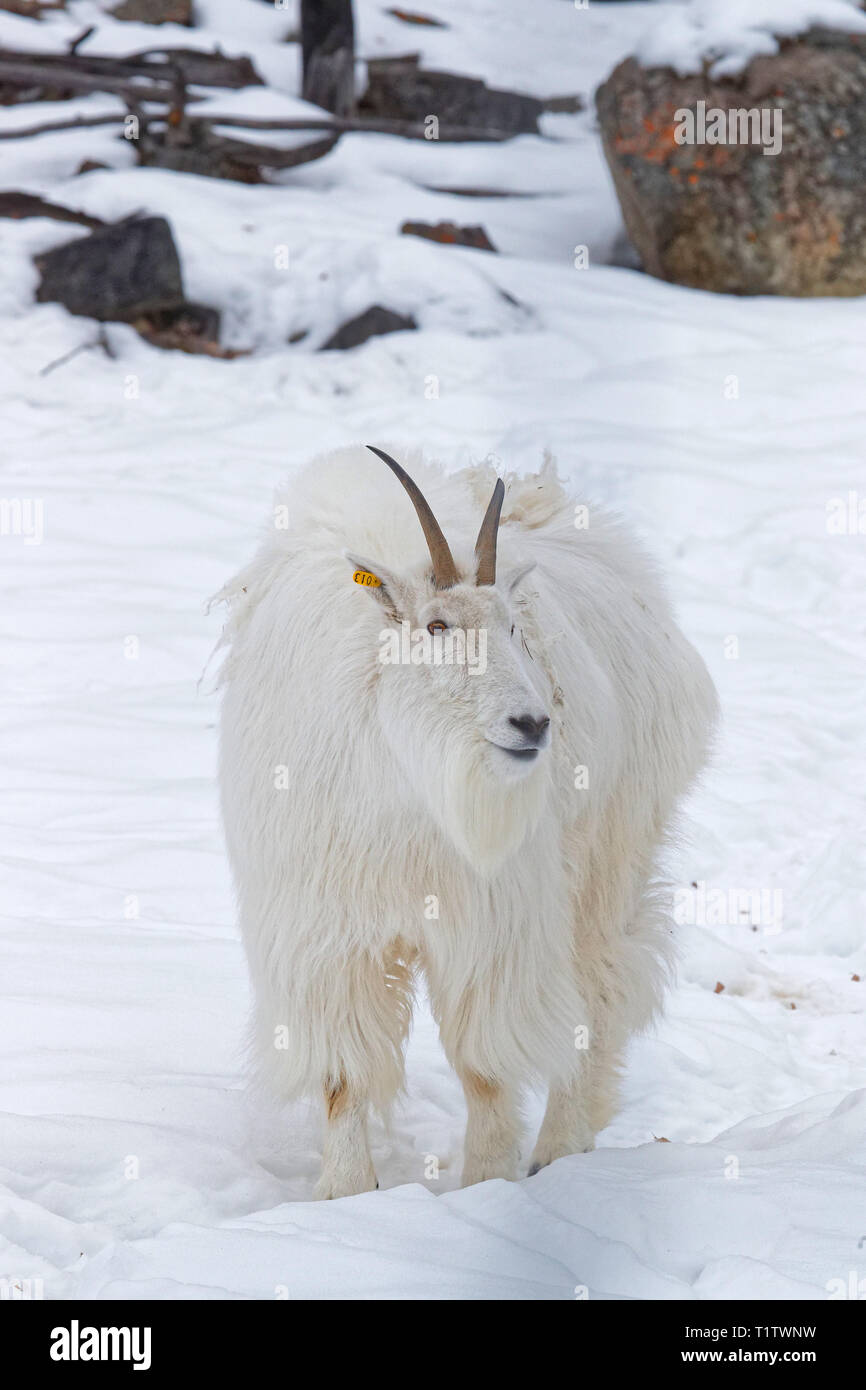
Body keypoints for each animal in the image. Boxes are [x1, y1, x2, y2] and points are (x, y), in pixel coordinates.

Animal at [215, 445, 717, 1198]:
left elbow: (484, 1065)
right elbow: (344, 1072)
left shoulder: (491, 919)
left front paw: (485, 1182)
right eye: (437, 626)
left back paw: (561, 1150)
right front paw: (346, 1193)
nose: (532, 723)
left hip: (611, 854)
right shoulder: (327, 932)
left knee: (599, 994)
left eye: (514, 626)